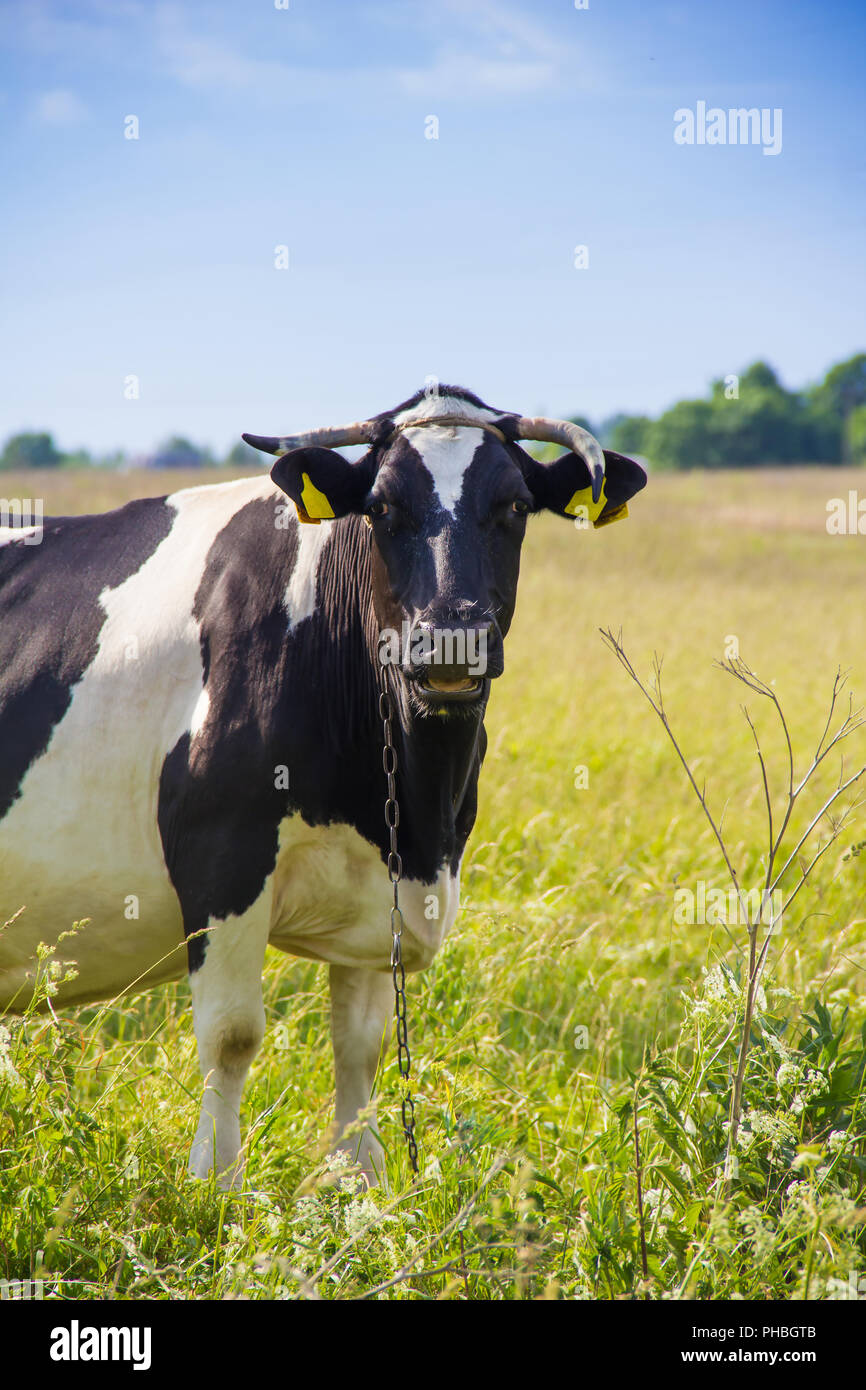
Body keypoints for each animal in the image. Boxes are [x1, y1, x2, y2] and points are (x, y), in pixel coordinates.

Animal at [0, 386, 646, 1186]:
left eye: (516, 506)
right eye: (382, 507)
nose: (450, 640)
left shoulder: (381, 894)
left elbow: (361, 1049)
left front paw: (358, 1185)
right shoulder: (223, 859)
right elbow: (232, 1036)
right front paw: (214, 1187)